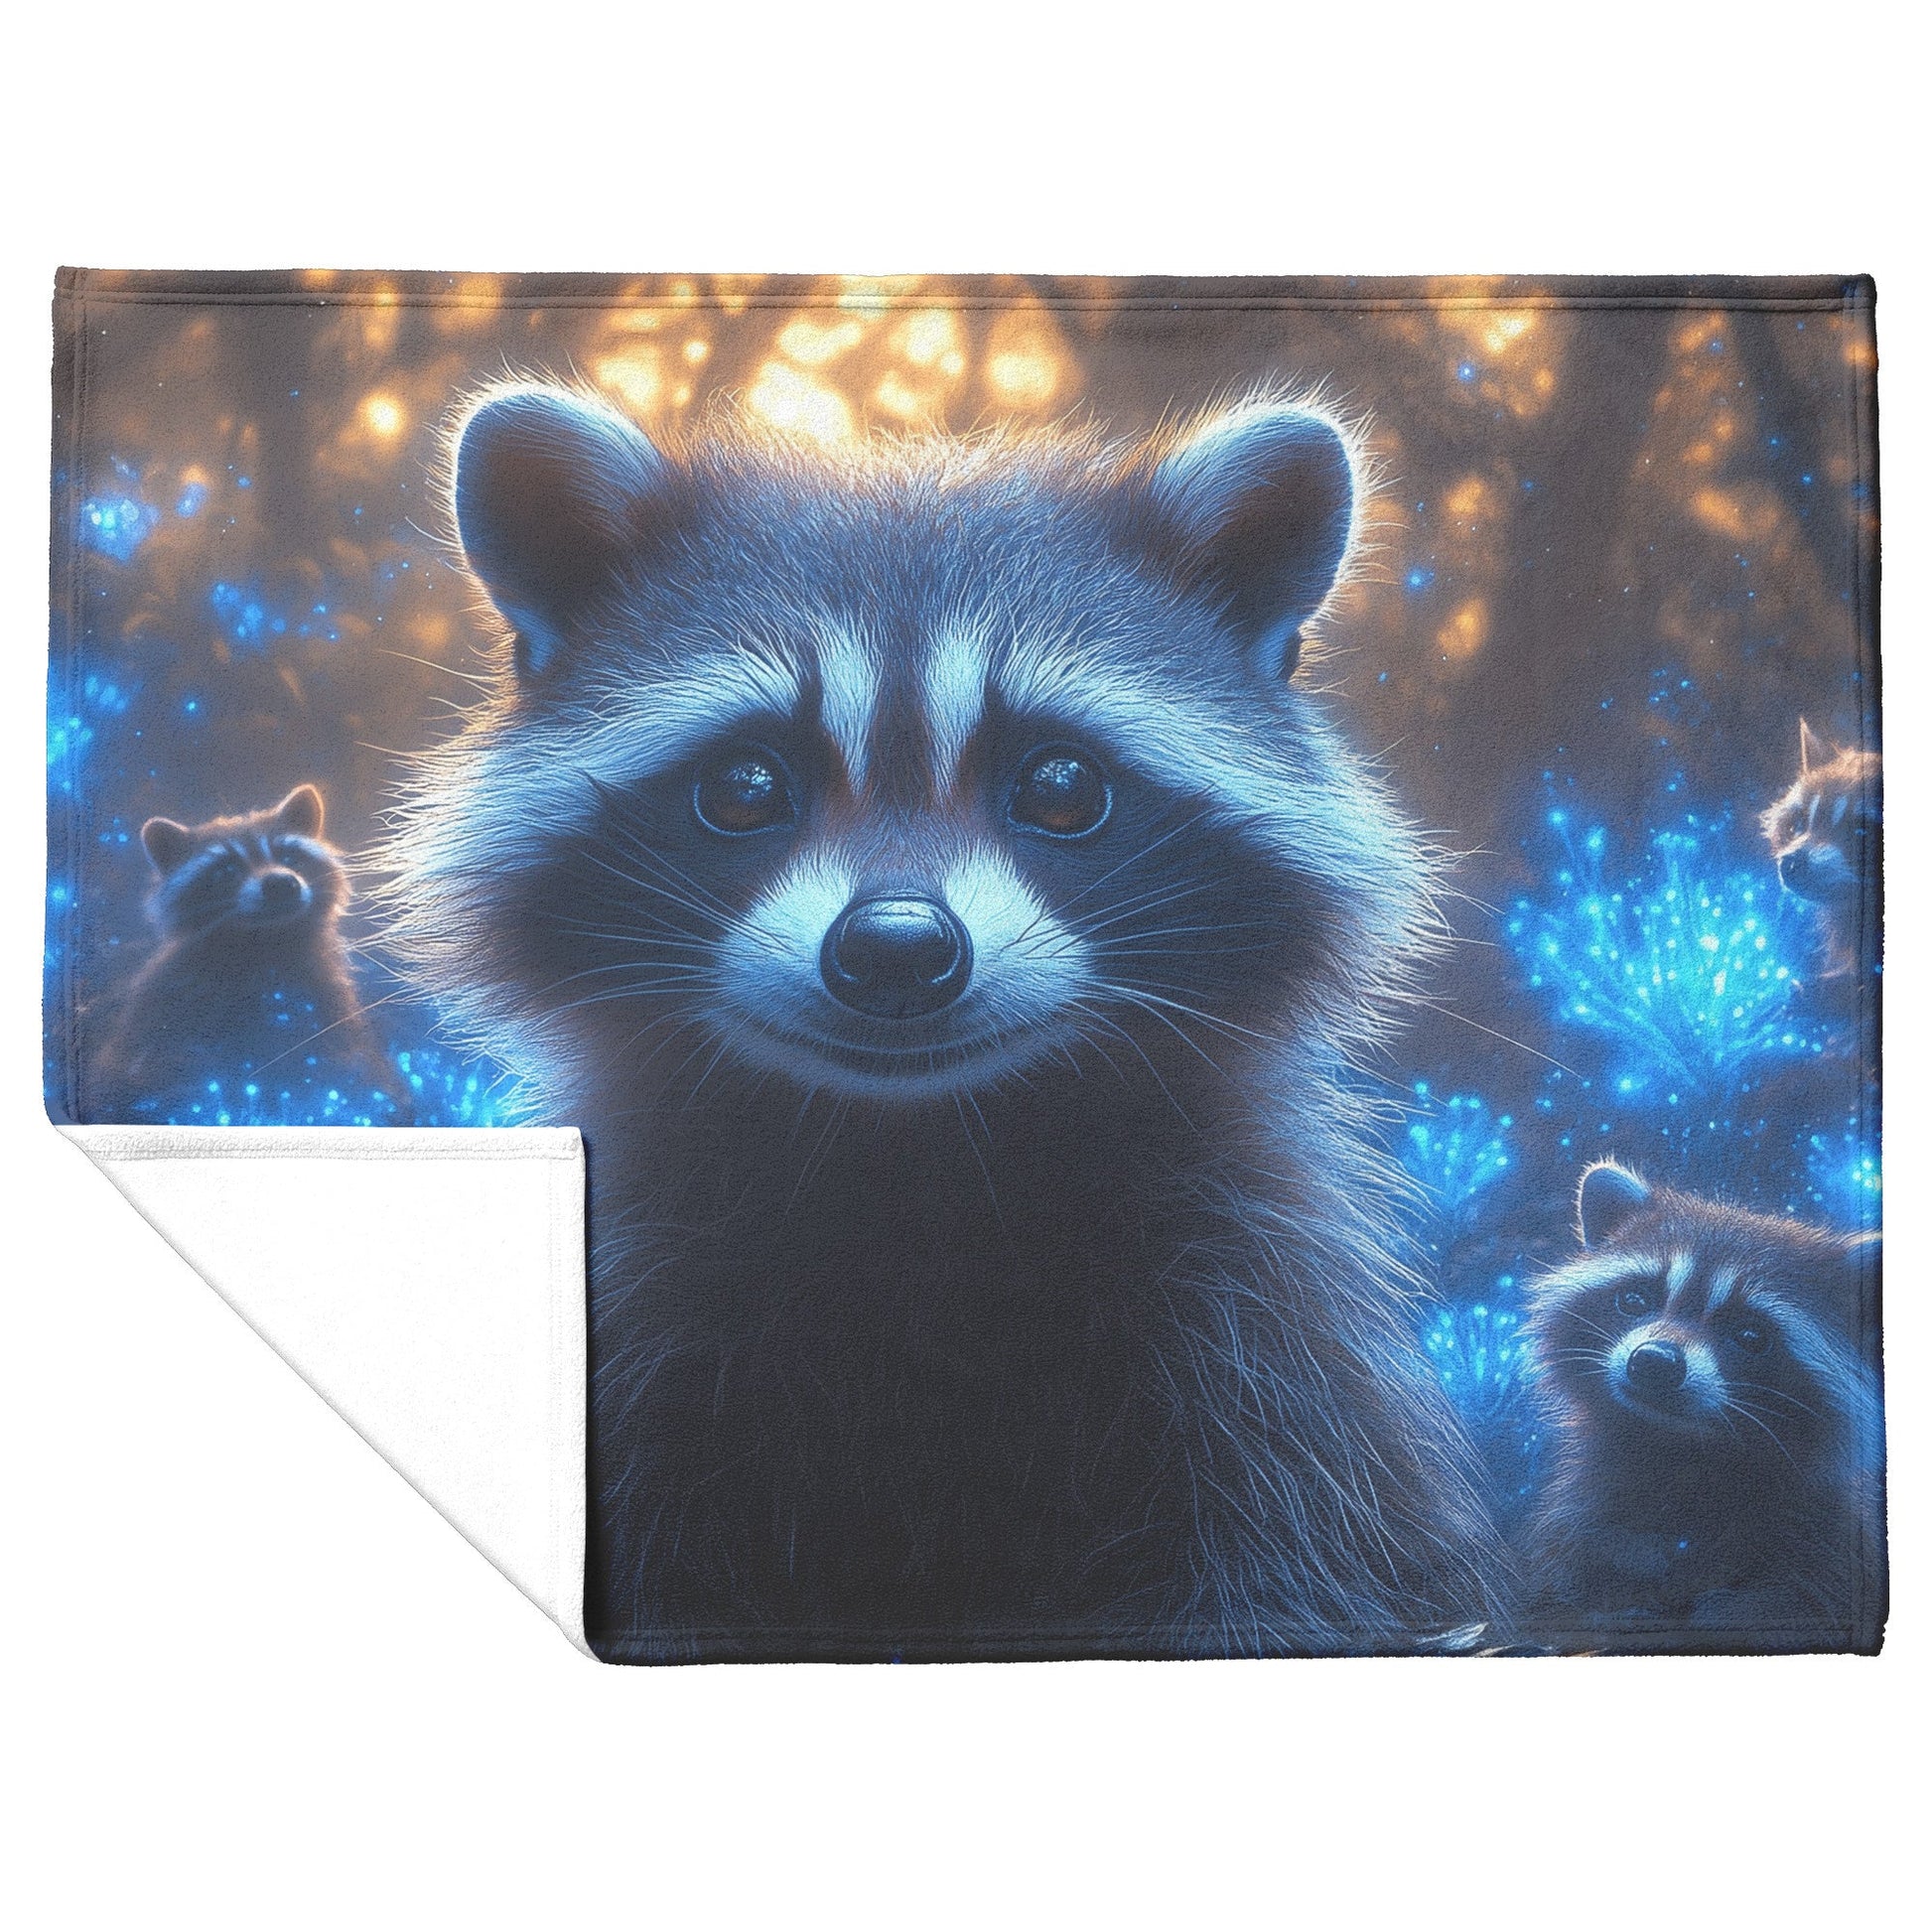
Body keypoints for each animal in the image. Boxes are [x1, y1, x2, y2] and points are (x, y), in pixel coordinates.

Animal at [89, 785, 393, 1121]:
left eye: (288, 856)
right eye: (227, 870)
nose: (281, 883)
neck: (265, 945)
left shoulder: (325, 1005)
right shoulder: (177, 1012)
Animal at [386, 380, 1509, 1659]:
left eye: (1060, 787)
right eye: (745, 787)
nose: (895, 950)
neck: (911, 1150)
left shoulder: (1267, 1340)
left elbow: (1296, 1563)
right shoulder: (639, 1315)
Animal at [1521, 1160, 1883, 1647]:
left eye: (1749, 1334)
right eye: (1634, 1299)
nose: (1654, 1362)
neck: (1682, 1448)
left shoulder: (1830, 1540)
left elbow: (1796, 1600)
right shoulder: (1582, 1519)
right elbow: (1568, 1586)